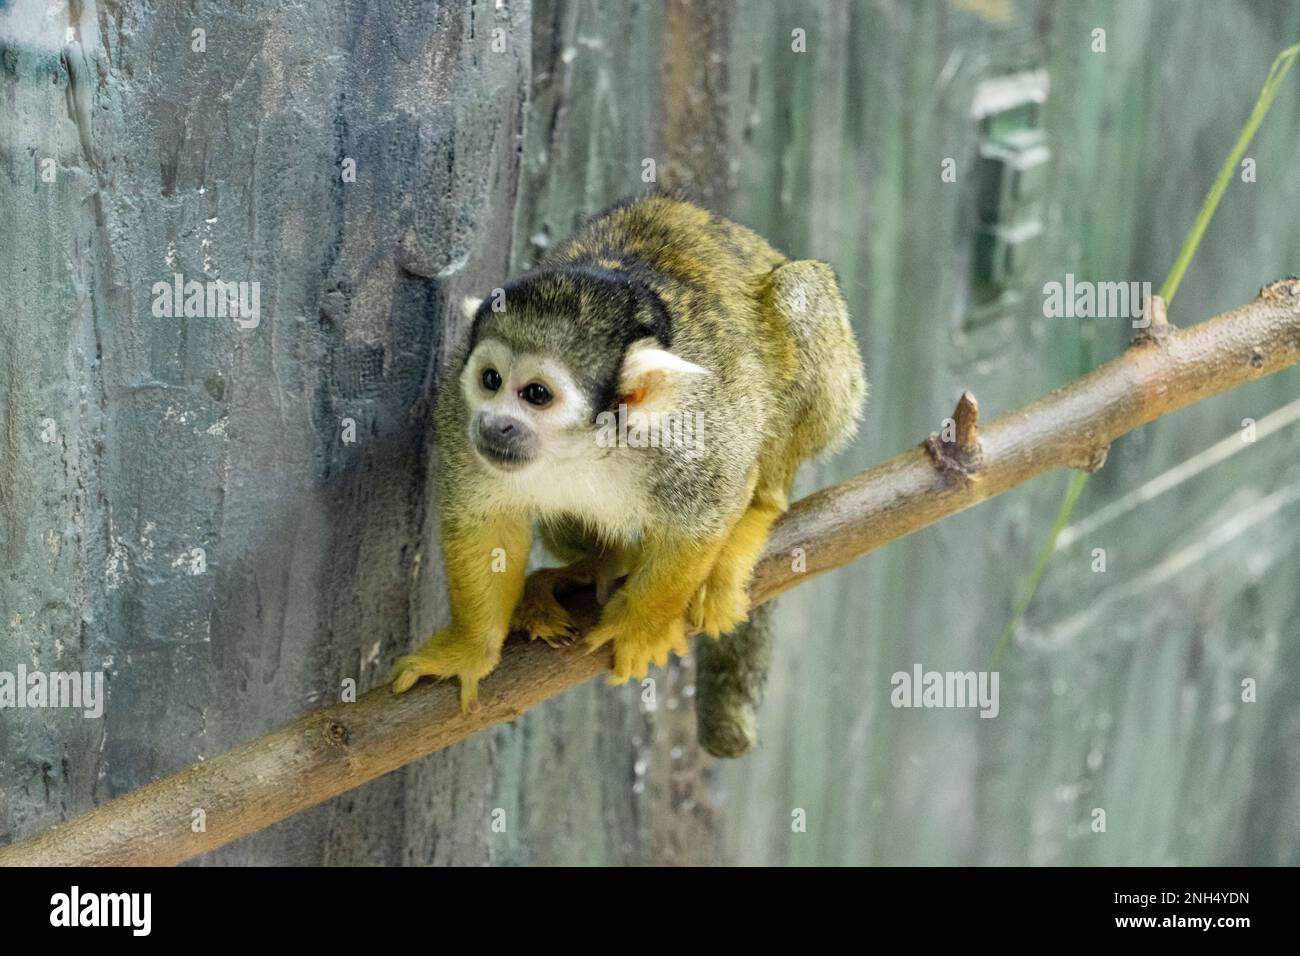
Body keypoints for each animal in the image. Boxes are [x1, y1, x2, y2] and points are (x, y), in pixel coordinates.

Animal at [391, 194, 866, 757]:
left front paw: (641, 627)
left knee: (798, 296)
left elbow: (708, 511)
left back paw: (755, 518)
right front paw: (469, 649)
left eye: (536, 394)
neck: (587, 445)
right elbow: (486, 523)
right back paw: (598, 562)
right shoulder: (455, 412)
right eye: (490, 380)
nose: (493, 424)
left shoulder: (692, 431)